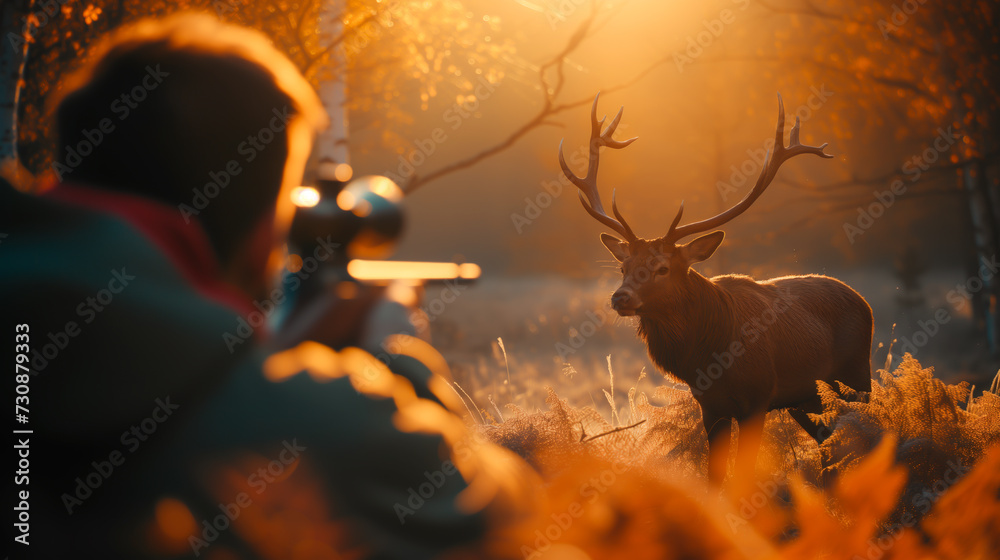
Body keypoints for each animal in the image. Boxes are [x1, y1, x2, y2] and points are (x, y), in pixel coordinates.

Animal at [559, 93, 873, 483]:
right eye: (623, 267)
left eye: (663, 268)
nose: (621, 297)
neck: (710, 357)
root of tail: (863, 301)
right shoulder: (710, 407)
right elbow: (716, 478)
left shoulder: (758, 399)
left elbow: (743, 476)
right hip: (807, 400)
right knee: (829, 445)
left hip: (858, 378)